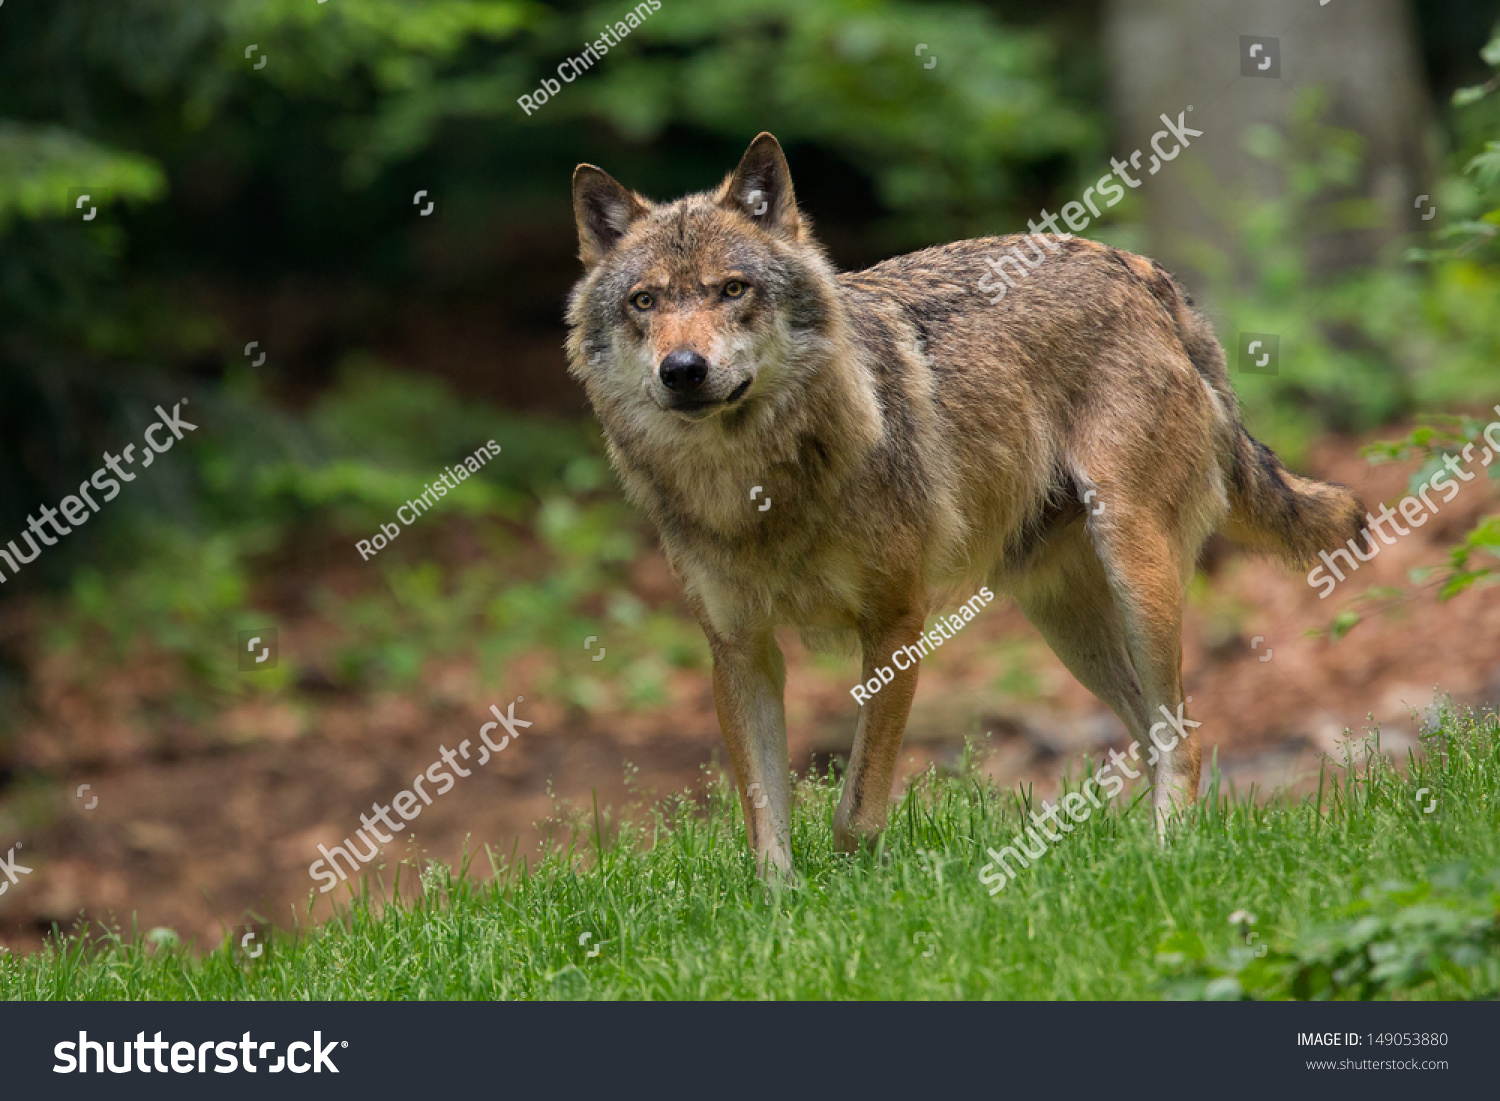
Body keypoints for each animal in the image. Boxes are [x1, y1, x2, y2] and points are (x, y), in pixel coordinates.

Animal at [565, 133, 1364, 877]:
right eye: (644, 302)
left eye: (732, 289)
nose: (683, 371)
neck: (754, 489)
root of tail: (1140, 270)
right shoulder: (738, 652)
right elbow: (766, 827)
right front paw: (782, 914)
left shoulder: (896, 624)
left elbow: (857, 808)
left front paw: (852, 897)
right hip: (1067, 622)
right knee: (1152, 733)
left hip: (1136, 578)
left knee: (1185, 735)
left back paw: (1168, 855)